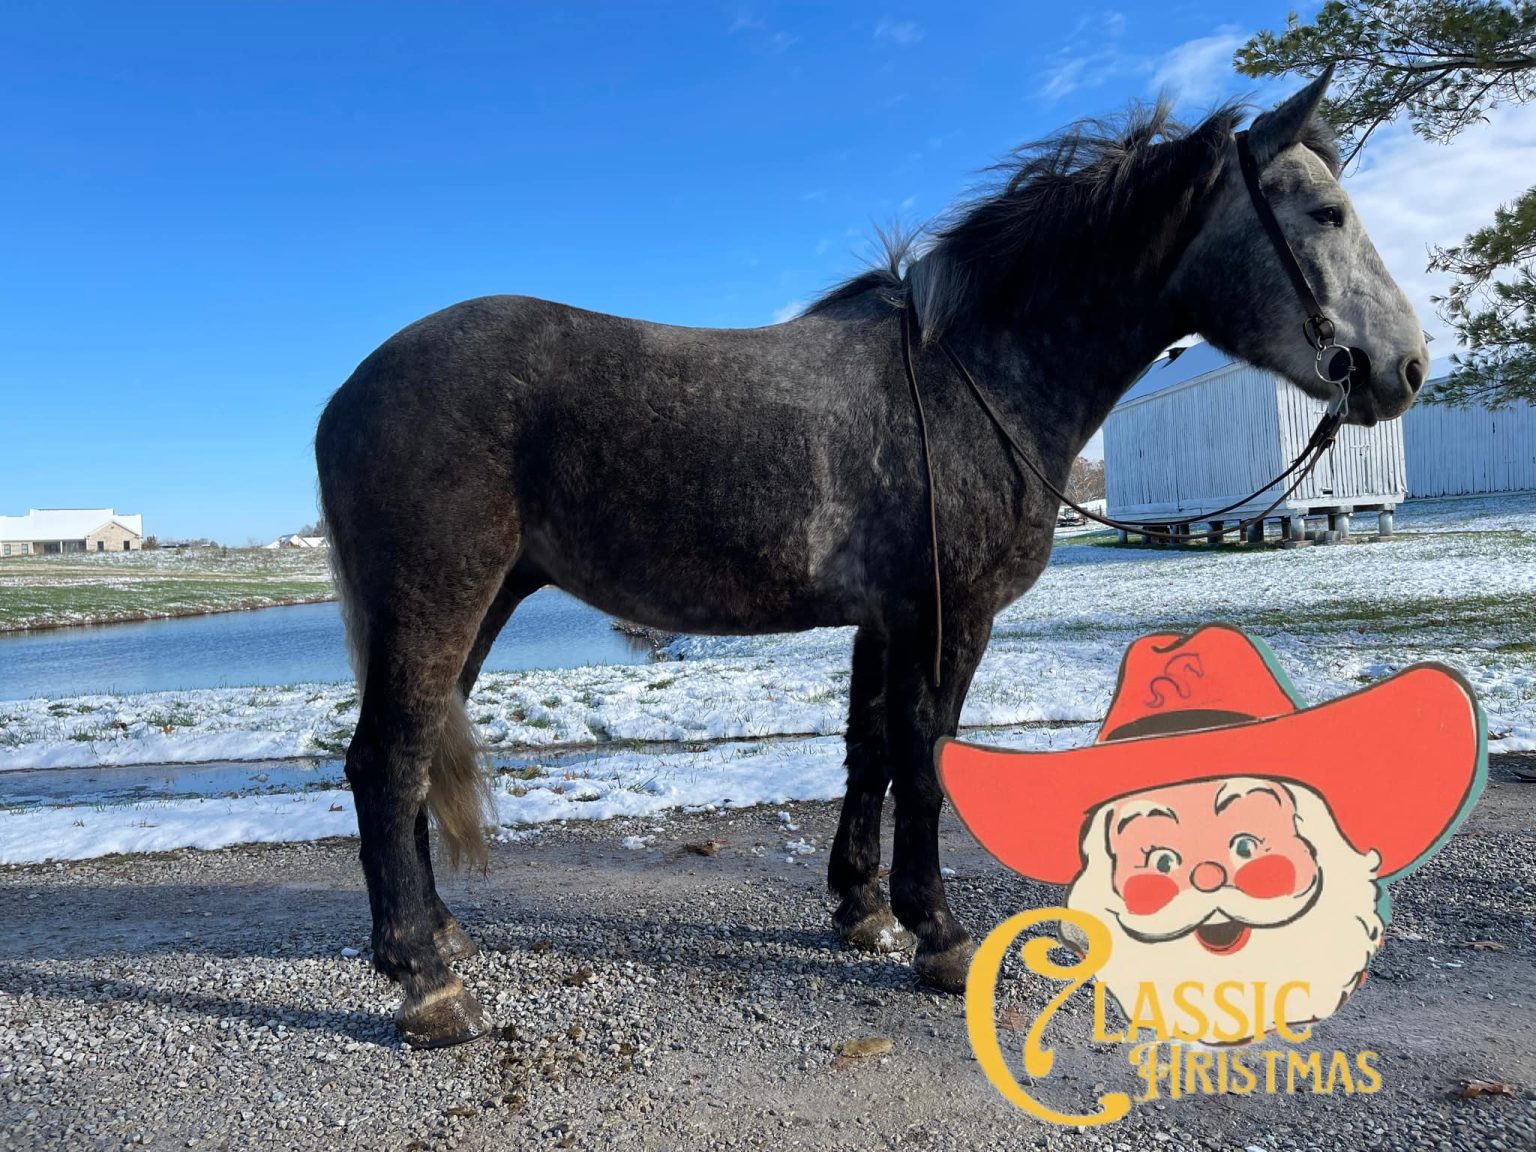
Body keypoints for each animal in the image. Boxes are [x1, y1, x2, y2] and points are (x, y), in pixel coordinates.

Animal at [315, 68, 1428, 1048]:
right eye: (1326, 212)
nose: (1404, 368)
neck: (974, 373)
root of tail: (349, 392)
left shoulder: (884, 621)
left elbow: (871, 756)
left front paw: (863, 910)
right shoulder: (950, 617)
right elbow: (925, 758)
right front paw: (938, 932)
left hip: (481, 603)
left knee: (411, 757)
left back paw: (437, 939)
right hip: (441, 600)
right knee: (387, 760)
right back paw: (427, 983)